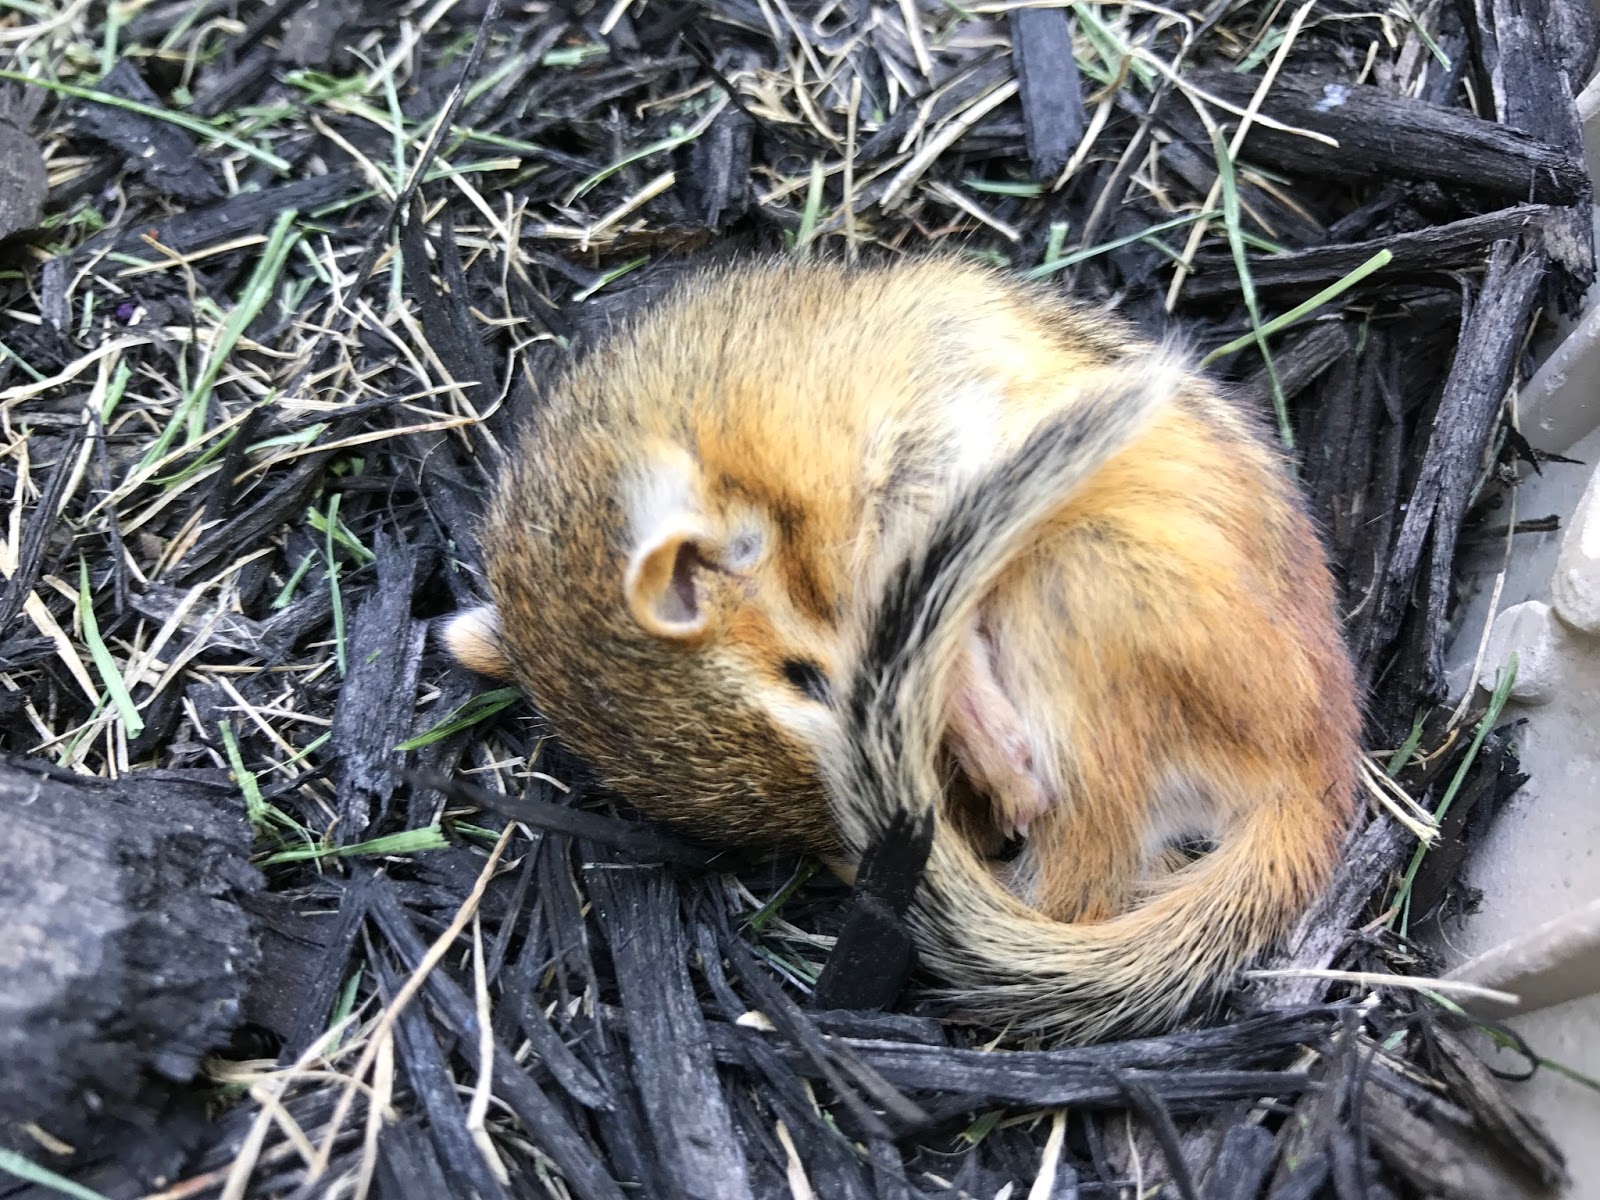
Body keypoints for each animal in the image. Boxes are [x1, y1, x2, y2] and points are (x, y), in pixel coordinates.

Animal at [443, 256, 1361, 1042]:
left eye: (813, 681)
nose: (961, 829)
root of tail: (1312, 772)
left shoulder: (925, 436)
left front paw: (989, 746)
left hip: (1078, 590)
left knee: (1084, 882)